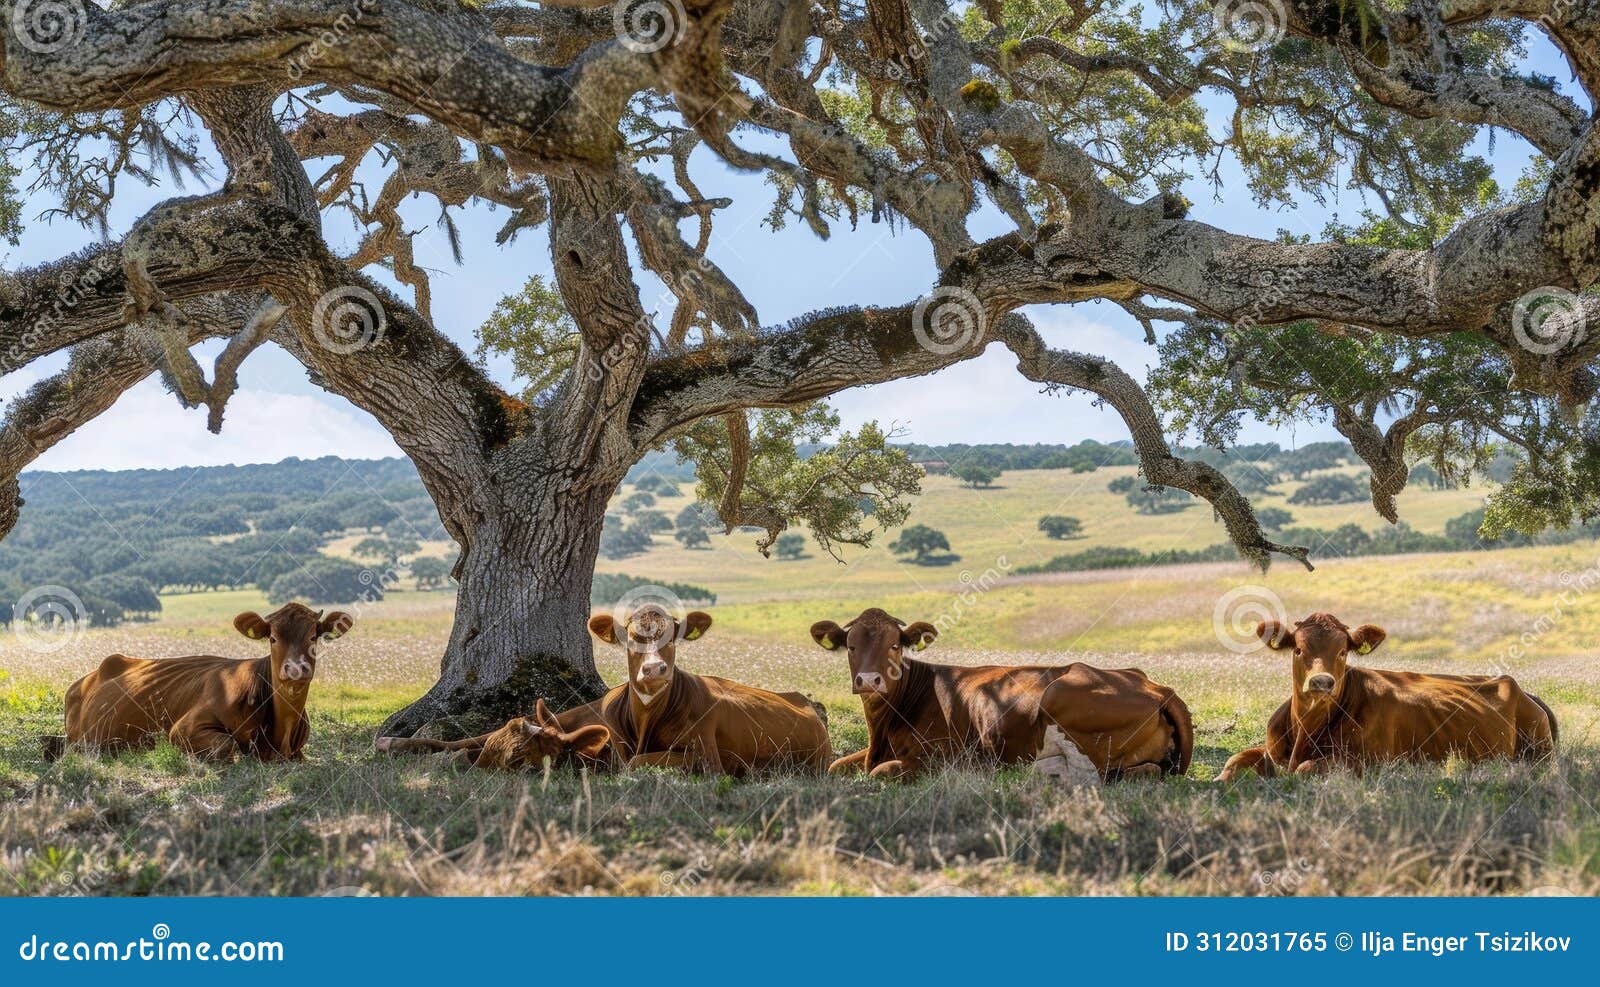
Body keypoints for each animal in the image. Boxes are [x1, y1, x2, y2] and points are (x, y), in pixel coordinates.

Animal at [42, 603, 352, 763]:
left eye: (314, 636)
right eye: (272, 638)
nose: (296, 669)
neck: (280, 738)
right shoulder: (183, 728)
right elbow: (227, 746)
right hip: (79, 735)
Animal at [809, 608, 1192, 780]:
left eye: (894, 645)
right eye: (851, 646)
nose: (869, 680)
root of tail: (1158, 687)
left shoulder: (942, 759)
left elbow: (879, 771)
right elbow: (835, 765)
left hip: (1057, 695)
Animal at [1216, 612, 1559, 781]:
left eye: (1343, 652)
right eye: (1298, 649)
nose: (1322, 682)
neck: (1306, 729)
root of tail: (1521, 688)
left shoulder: (1368, 762)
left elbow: (1305, 769)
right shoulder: (1272, 750)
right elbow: (1235, 759)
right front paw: (1219, 781)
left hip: (1537, 751)